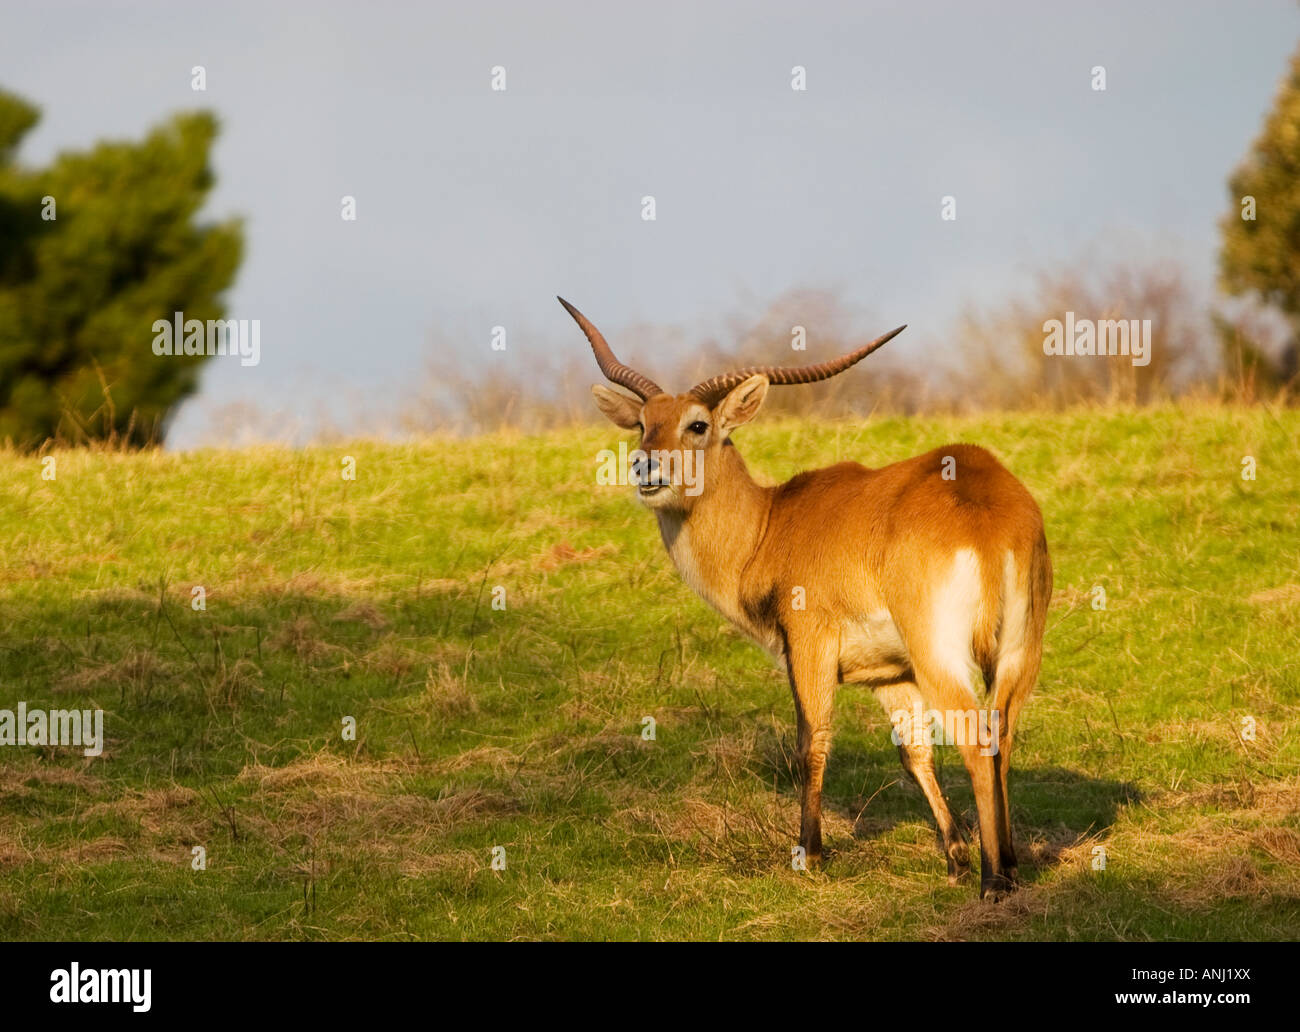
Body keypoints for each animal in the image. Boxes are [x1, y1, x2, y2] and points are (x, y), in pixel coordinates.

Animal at [560, 296, 1052, 900]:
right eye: (642, 423)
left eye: (697, 423)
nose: (645, 467)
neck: (768, 528)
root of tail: (982, 503)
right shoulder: (891, 674)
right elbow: (914, 753)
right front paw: (954, 855)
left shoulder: (810, 645)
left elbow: (811, 742)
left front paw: (809, 855)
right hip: (1018, 653)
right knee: (1001, 739)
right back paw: (1006, 867)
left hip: (944, 658)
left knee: (977, 743)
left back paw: (992, 882)